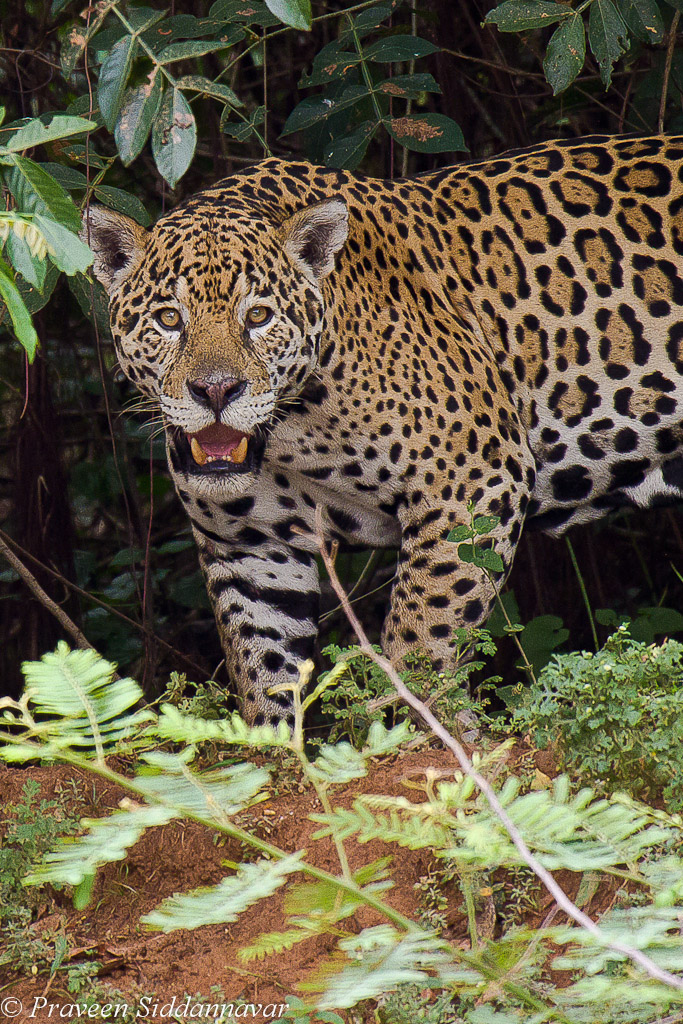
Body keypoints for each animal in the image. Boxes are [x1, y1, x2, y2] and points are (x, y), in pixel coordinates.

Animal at [84, 133, 683, 726]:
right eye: (168, 319)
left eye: (257, 317)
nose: (215, 391)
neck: (293, 433)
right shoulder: (250, 550)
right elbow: (265, 676)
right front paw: (275, 746)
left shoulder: (474, 483)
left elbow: (418, 638)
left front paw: (428, 733)